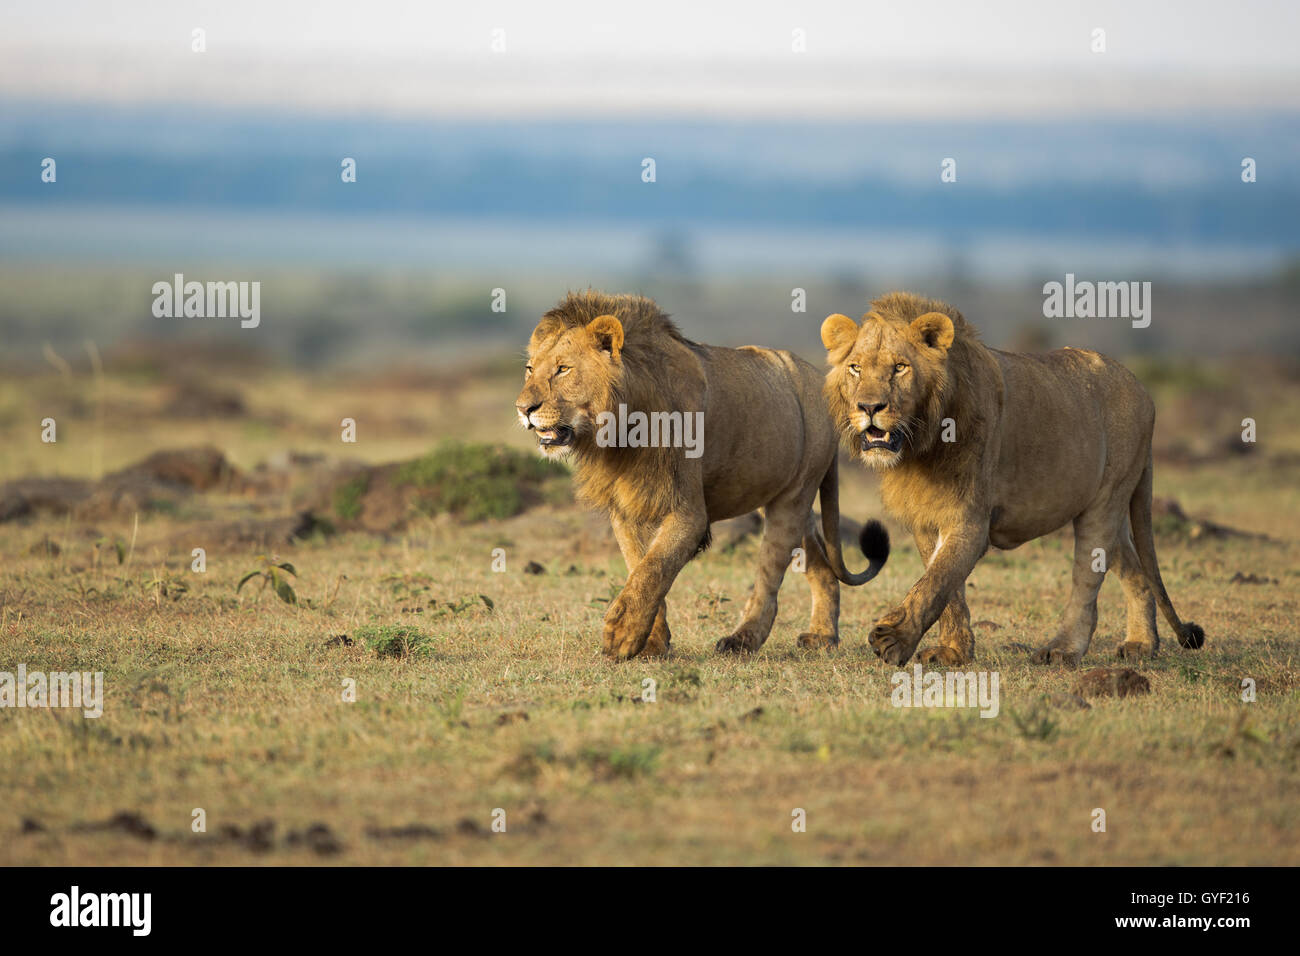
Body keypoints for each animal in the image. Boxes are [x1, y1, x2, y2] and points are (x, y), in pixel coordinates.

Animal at [516, 290, 889, 660]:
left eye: (563, 369)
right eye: (530, 369)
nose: (523, 409)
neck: (619, 430)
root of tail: (823, 380)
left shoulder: (689, 511)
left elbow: (654, 567)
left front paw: (620, 634)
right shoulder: (625, 507)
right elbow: (639, 565)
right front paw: (651, 641)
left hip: (793, 498)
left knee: (769, 578)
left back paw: (742, 640)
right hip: (786, 497)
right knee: (821, 564)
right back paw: (822, 636)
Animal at [821, 291, 1205, 666]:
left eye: (900, 368)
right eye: (856, 368)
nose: (869, 407)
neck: (920, 445)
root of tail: (1141, 387)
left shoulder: (971, 517)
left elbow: (936, 581)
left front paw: (894, 639)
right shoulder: (927, 518)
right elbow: (948, 589)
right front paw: (954, 651)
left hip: (1106, 501)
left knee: (1087, 579)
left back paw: (1063, 650)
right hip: (1107, 509)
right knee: (1135, 570)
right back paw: (1142, 643)